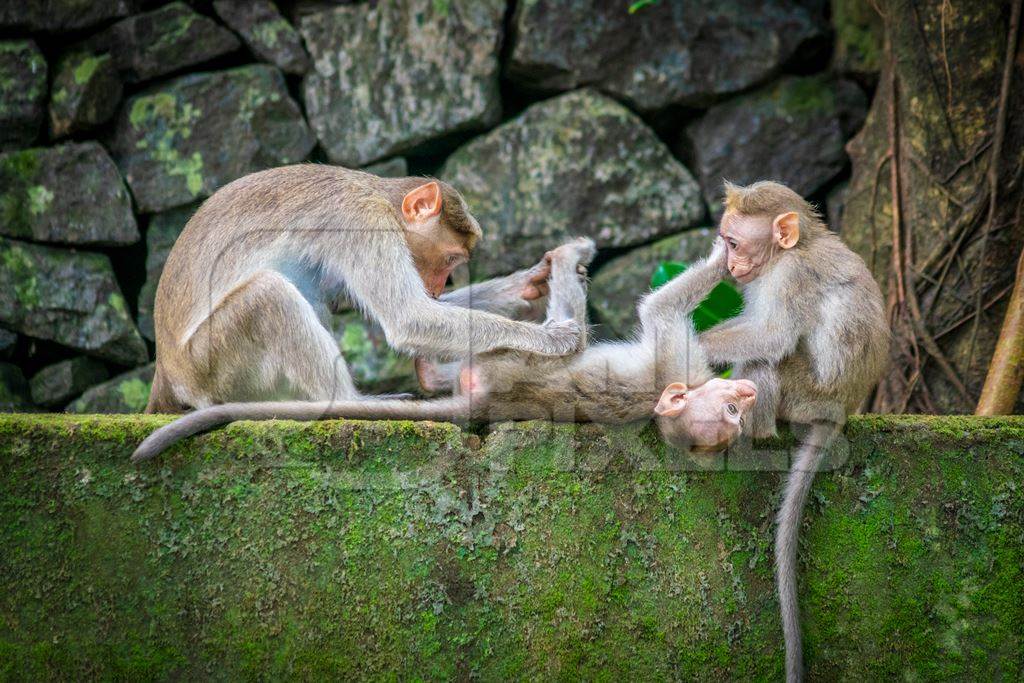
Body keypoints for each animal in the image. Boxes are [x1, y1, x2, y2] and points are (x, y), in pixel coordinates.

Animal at [131, 237, 759, 462]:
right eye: (731, 410)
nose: (749, 395)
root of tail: (484, 404)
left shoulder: (680, 362)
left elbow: (661, 315)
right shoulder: (683, 361)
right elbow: (661, 313)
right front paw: (726, 254)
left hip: (507, 366)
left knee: (565, 338)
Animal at [144, 165, 583, 414]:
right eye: (451, 260)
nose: (438, 286)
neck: (379, 195)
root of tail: (168, 372)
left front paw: (528, 282)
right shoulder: (364, 223)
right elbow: (409, 316)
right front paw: (551, 338)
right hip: (211, 368)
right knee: (270, 295)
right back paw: (350, 402)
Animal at [698, 181, 889, 682]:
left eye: (734, 243)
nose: (730, 266)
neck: (793, 249)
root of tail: (842, 410)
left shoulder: (792, 278)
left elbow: (772, 334)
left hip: (806, 394)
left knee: (767, 363)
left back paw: (753, 428)